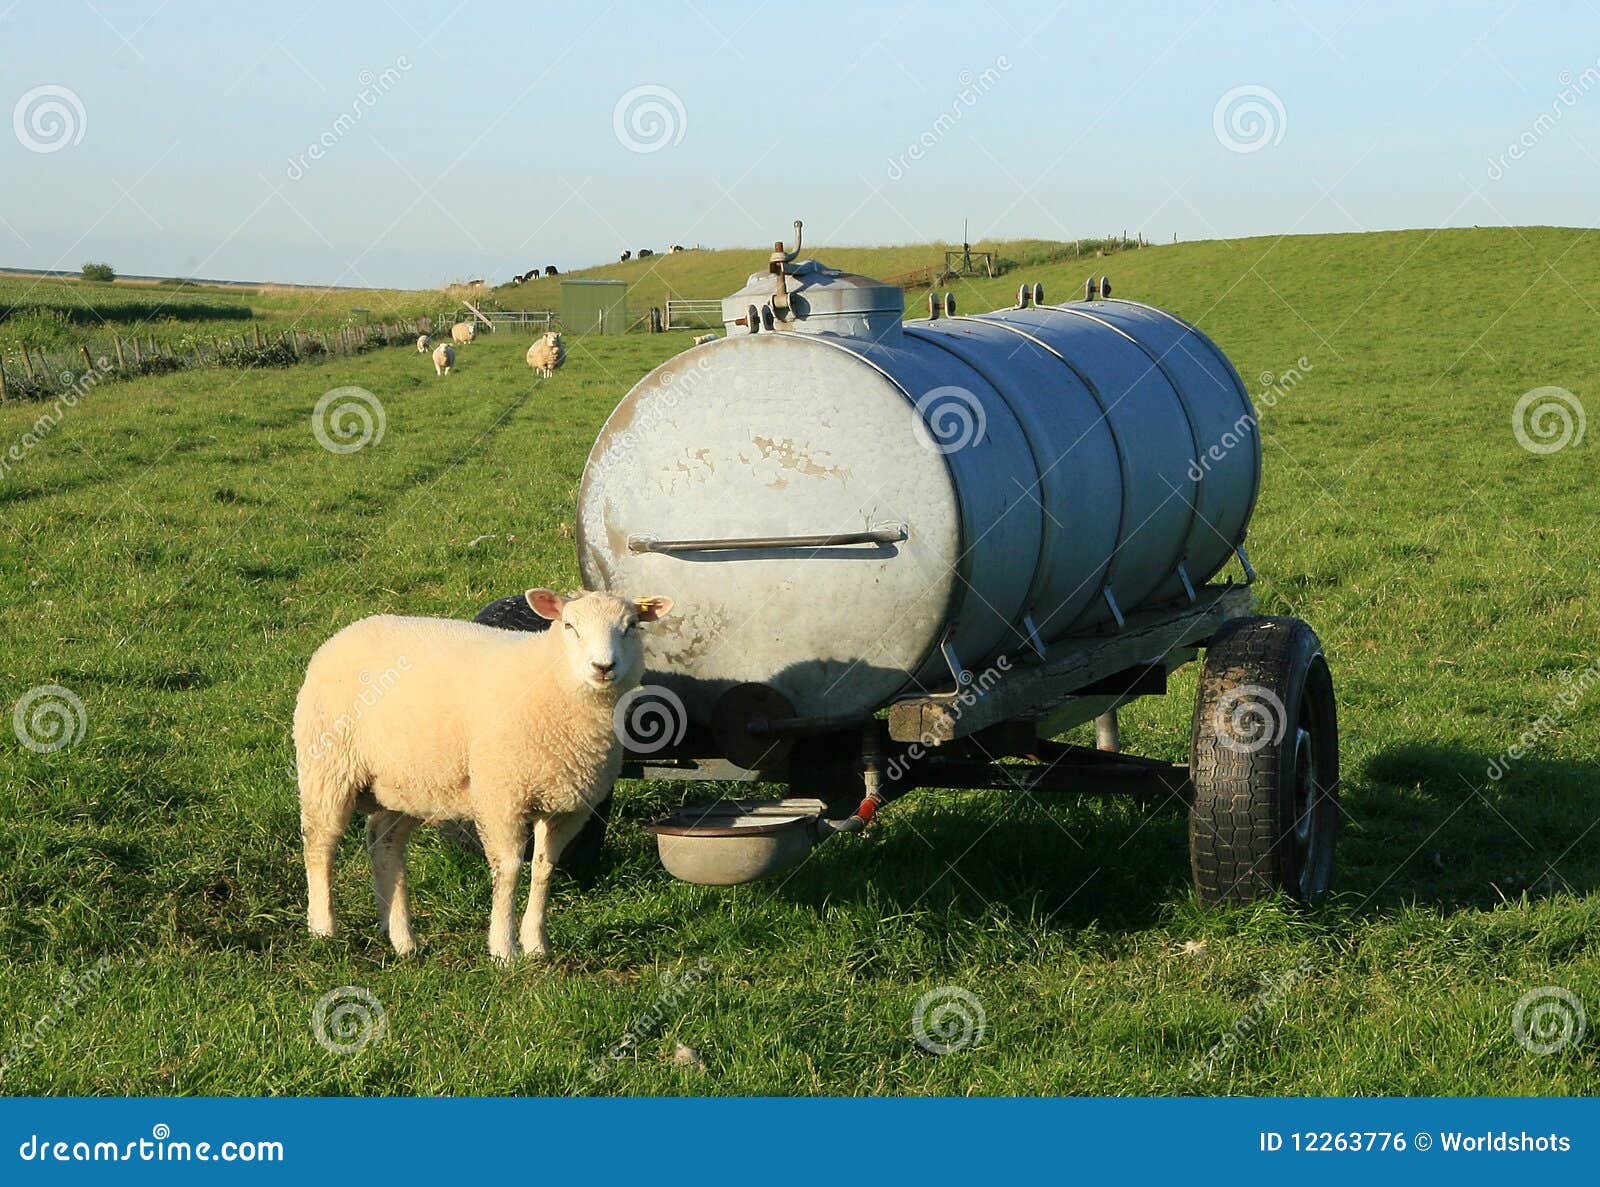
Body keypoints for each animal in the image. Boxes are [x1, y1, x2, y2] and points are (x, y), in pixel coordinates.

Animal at [294, 589, 674, 961]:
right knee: (320, 843)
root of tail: (348, 631)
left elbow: (544, 868)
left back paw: (402, 938)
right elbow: (509, 869)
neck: (551, 678)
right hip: (327, 763)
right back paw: (323, 928)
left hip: (407, 783)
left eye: (631, 626)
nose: (603, 667)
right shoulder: (501, 796)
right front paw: (504, 950)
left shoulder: (569, 809)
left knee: (384, 843)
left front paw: (537, 945)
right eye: (569, 626)